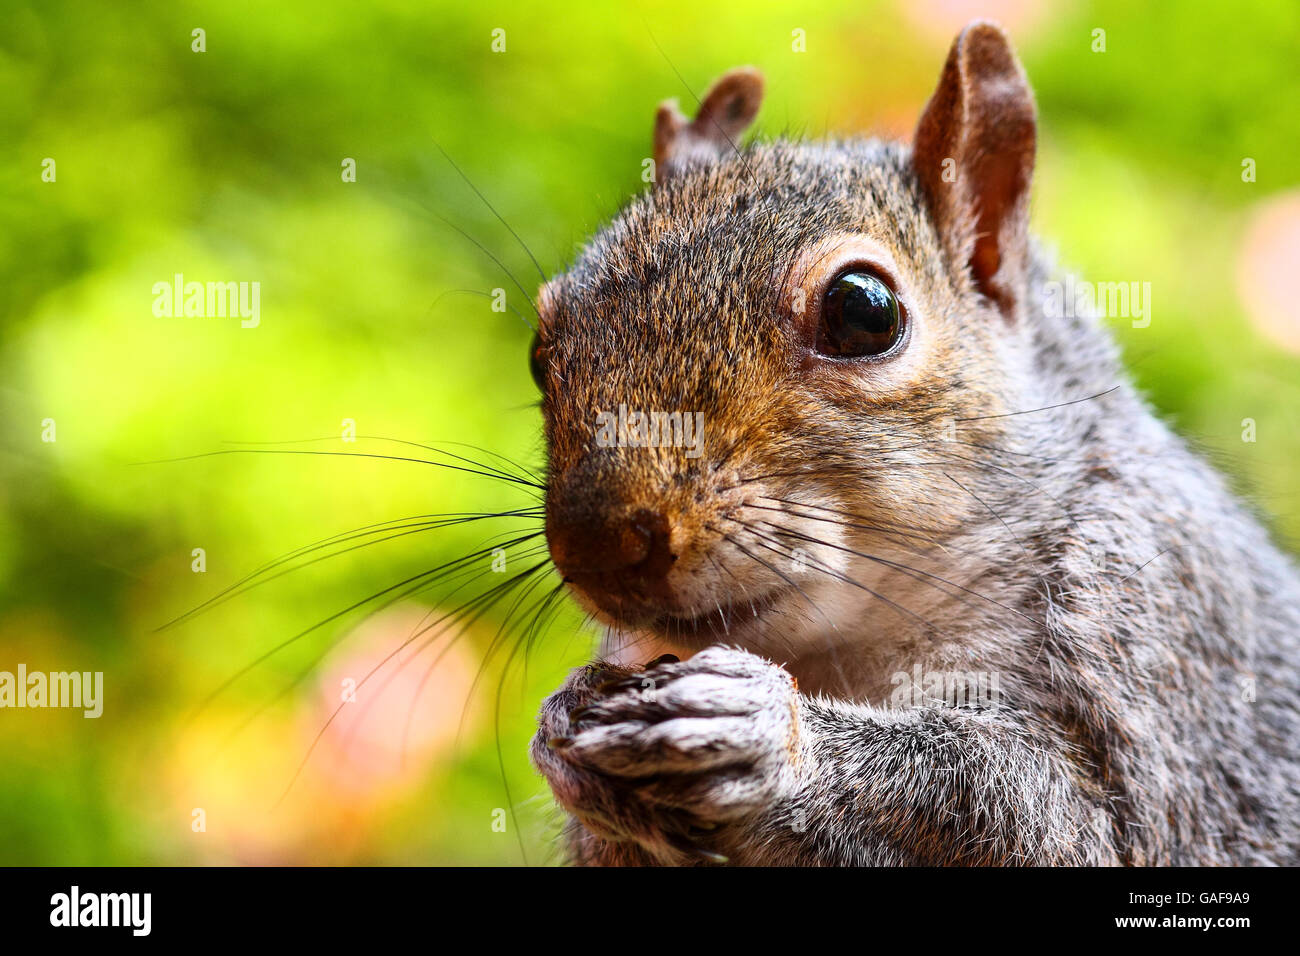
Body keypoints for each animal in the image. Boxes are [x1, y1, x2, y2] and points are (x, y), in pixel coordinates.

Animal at [526, 21, 1300, 865]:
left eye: (864, 311)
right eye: (539, 349)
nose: (595, 542)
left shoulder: (1162, 637)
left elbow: (1058, 822)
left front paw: (771, 740)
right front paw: (564, 728)